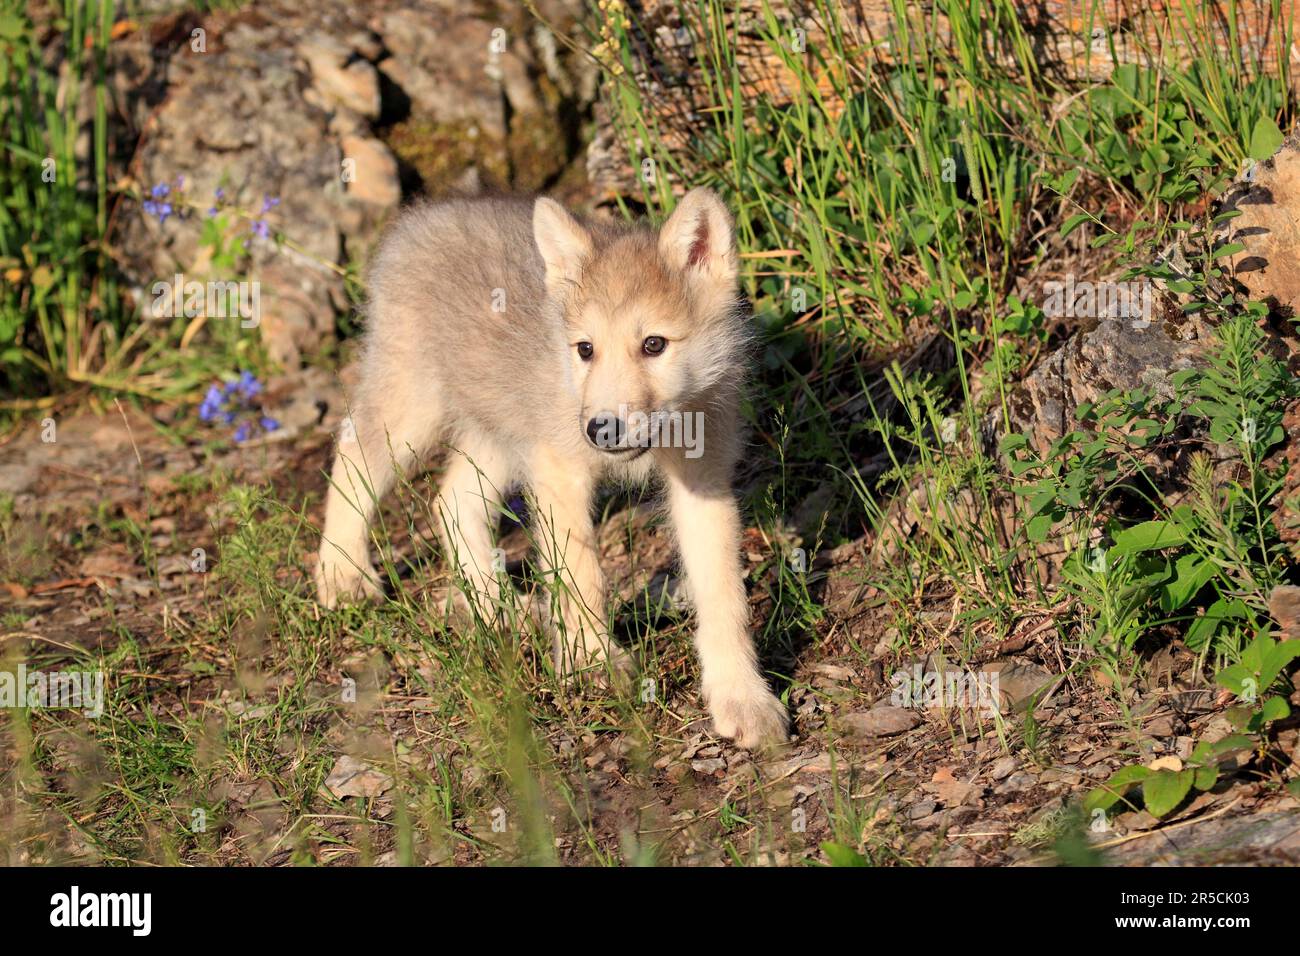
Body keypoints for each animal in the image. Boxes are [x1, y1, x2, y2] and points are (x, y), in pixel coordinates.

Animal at [315, 188, 789, 749]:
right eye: (585, 349)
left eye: (654, 344)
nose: (601, 429)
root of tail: (419, 216)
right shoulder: (561, 471)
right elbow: (584, 578)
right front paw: (594, 664)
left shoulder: (702, 482)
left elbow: (723, 595)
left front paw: (743, 698)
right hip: (414, 410)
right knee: (351, 457)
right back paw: (342, 577)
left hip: (501, 435)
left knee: (449, 503)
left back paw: (503, 607)